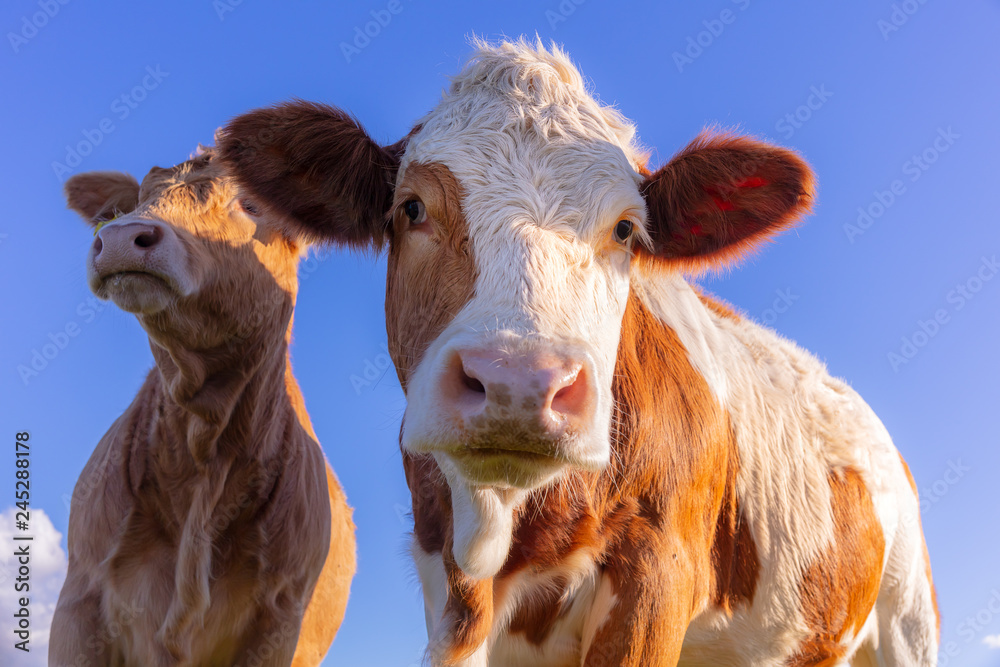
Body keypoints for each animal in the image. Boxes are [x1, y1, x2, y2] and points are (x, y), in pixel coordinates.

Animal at [219, 40, 939, 666]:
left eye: (625, 229)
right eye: (412, 207)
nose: (519, 381)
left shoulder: (657, 569)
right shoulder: (447, 589)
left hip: (906, 622)